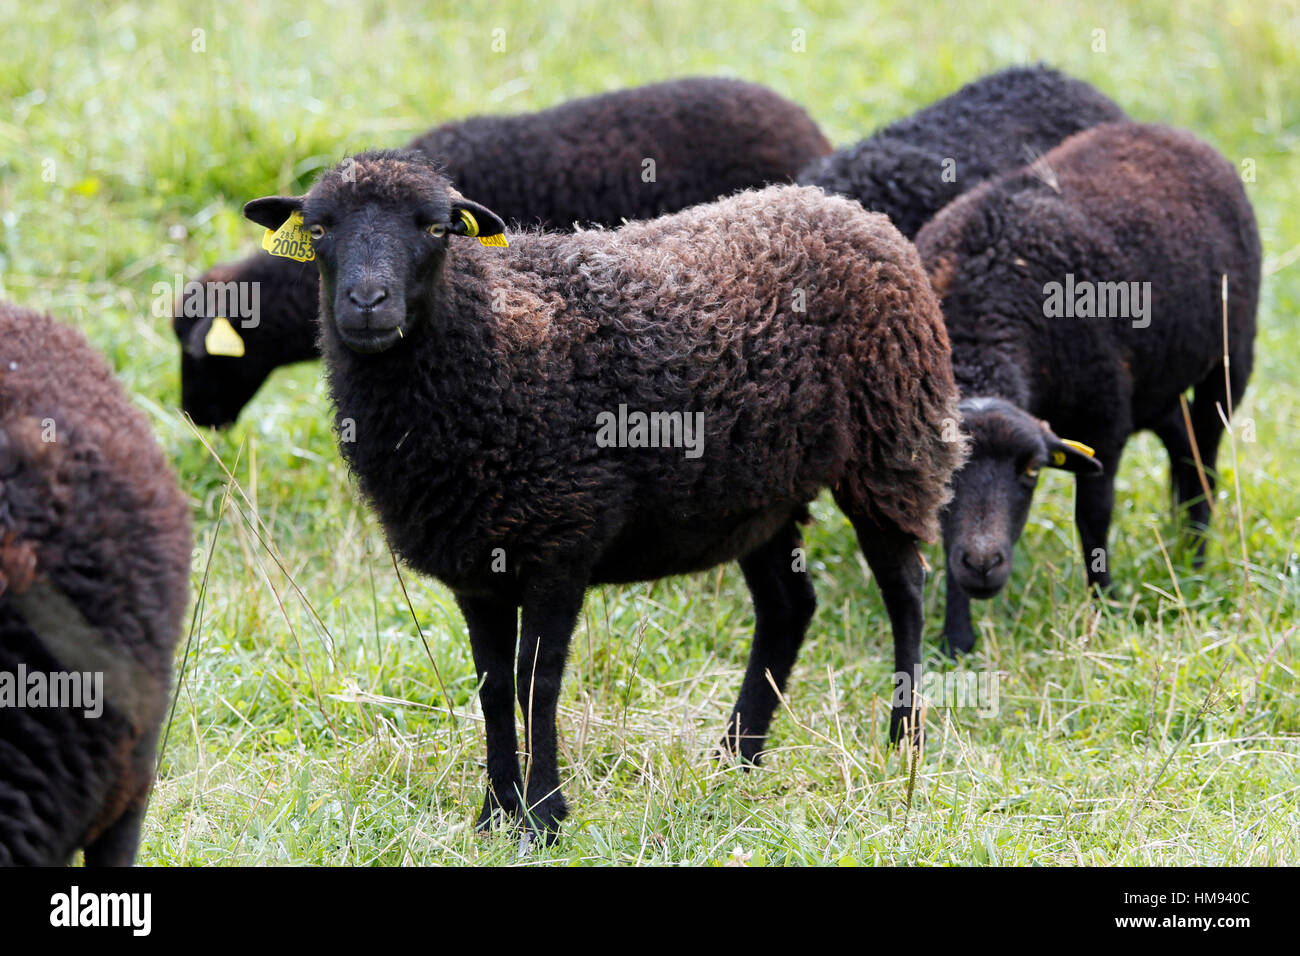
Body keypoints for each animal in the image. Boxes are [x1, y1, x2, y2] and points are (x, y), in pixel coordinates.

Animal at [244, 149, 964, 841]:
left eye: (435, 228)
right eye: (319, 228)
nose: (367, 302)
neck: (487, 342)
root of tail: (849, 210)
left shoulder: (560, 539)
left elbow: (537, 682)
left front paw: (543, 817)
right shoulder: (476, 562)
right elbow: (491, 685)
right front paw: (494, 813)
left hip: (891, 442)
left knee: (904, 587)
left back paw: (903, 739)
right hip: (759, 495)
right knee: (789, 607)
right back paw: (737, 757)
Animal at [914, 122, 1260, 654]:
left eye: (1032, 471)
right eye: (948, 472)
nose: (985, 564)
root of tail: (1166, 130)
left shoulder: (1104, 424)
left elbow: (1092, 520)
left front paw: (1104, 607)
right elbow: (951, 534)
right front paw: (958, 640)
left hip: (1227, 364)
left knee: (1204, 460)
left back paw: (1195, 564)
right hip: (1153, 380)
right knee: (1181, 444)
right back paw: (1180, 543)